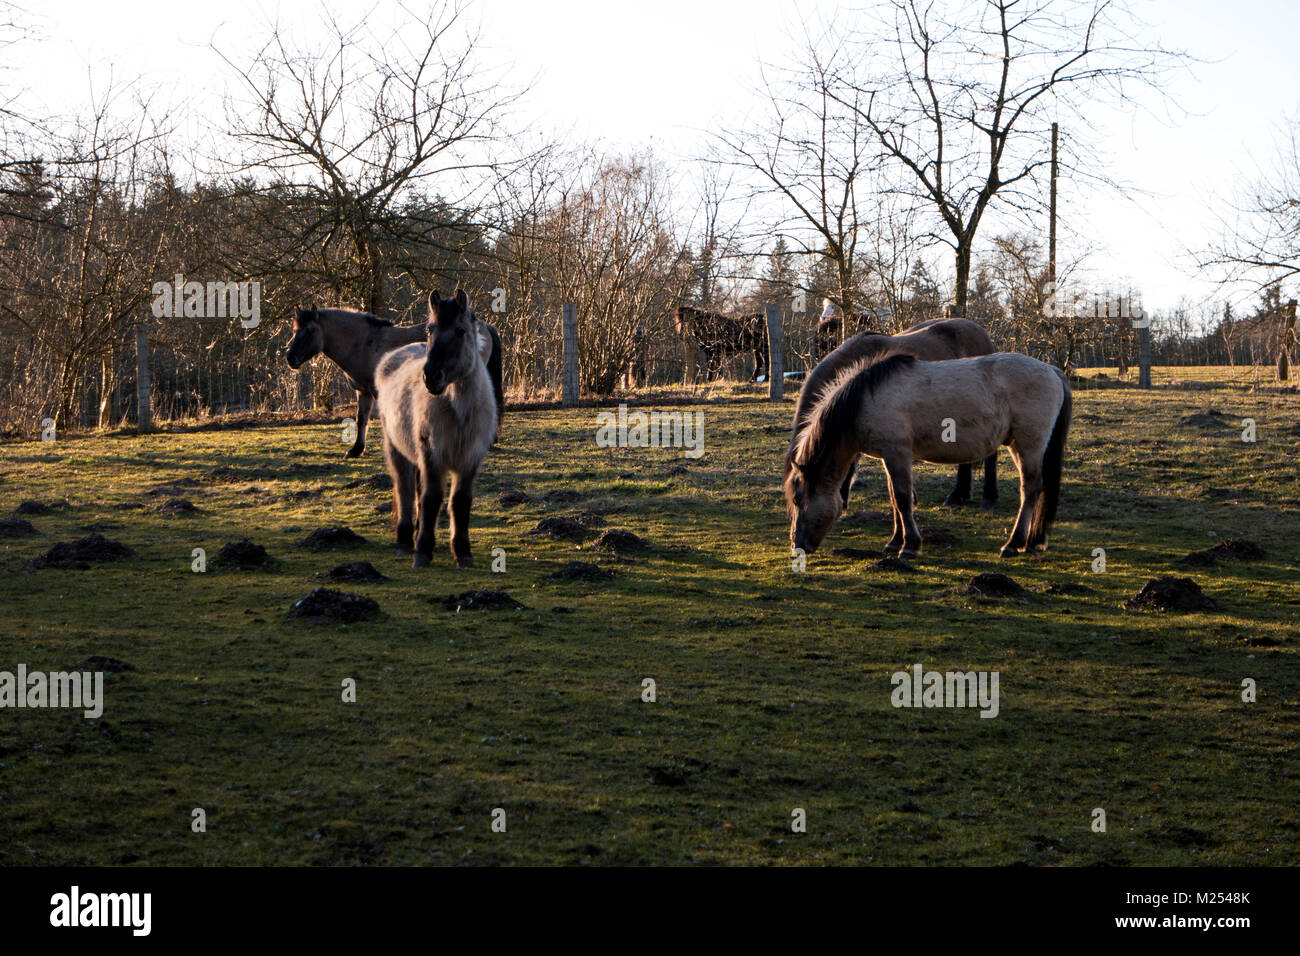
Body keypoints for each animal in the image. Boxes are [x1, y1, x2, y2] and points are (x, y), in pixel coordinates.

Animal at [286, 304, 504, 457]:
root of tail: (484, 326)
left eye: (310, 330)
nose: (290, 357)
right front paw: (356, 450)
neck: (365, 344)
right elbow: (361, 419)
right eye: (295, 330)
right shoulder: (363, 392)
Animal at [374, 288, 497, 568]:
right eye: (430, 329)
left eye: (460, 331)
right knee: (405, 491)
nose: (431, 376)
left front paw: (462, 553)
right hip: (397, 450)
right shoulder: (433, 454)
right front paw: (422, 552)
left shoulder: (469, 458)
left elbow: (459, 502)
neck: (458, 410)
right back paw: (405, 540)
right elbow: (431, 499)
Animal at [785, 352, 1071, 560]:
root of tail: (1053, 372)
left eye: (798, 499)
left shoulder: (897, 452)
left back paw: (1013, 544)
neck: (864, 398)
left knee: (1030, 490)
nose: (797, 545)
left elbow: (902, 499)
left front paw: (909, 546)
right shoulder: (890, 456)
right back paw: (1033, 541)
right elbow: (895, 498)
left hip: (1029, 445)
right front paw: (895, 542)